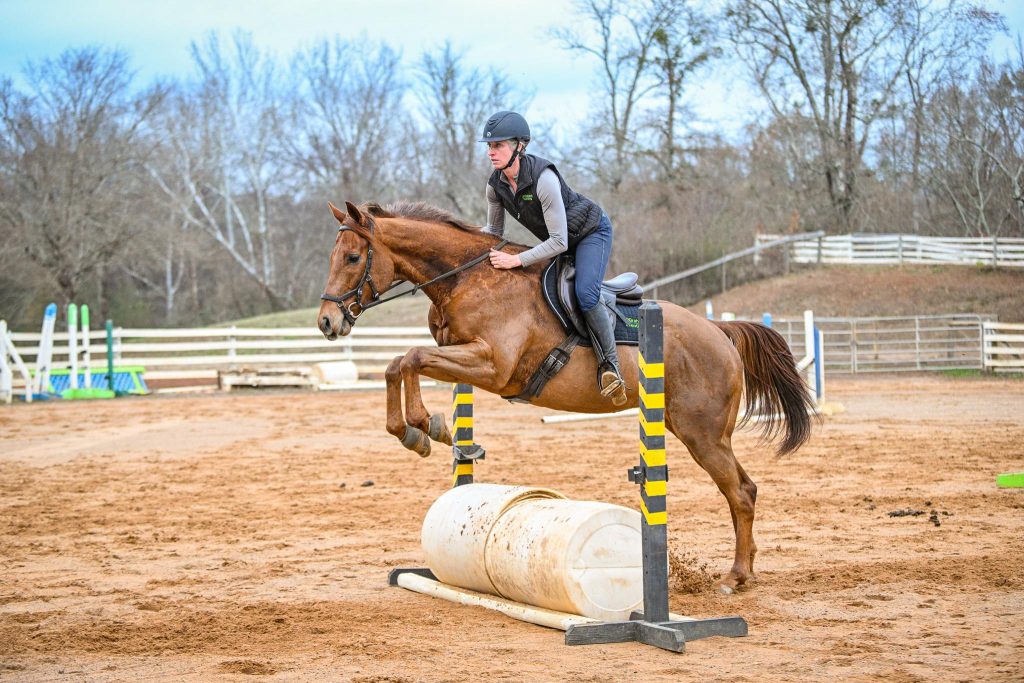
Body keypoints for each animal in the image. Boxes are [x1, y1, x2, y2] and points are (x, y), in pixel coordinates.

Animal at [317, 199, 815, 592]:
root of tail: (718, 331)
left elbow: (412, 358)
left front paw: (426, 426)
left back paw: (734, 577)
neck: (467, 279)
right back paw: (746, 573)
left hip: (703, 434)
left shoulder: (492, 365)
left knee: (741, 492)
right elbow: (398, 363)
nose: (326, 322)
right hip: (688, 427)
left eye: (354, 256)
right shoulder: (465, 358)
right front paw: (415, 432)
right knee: (745, 488)